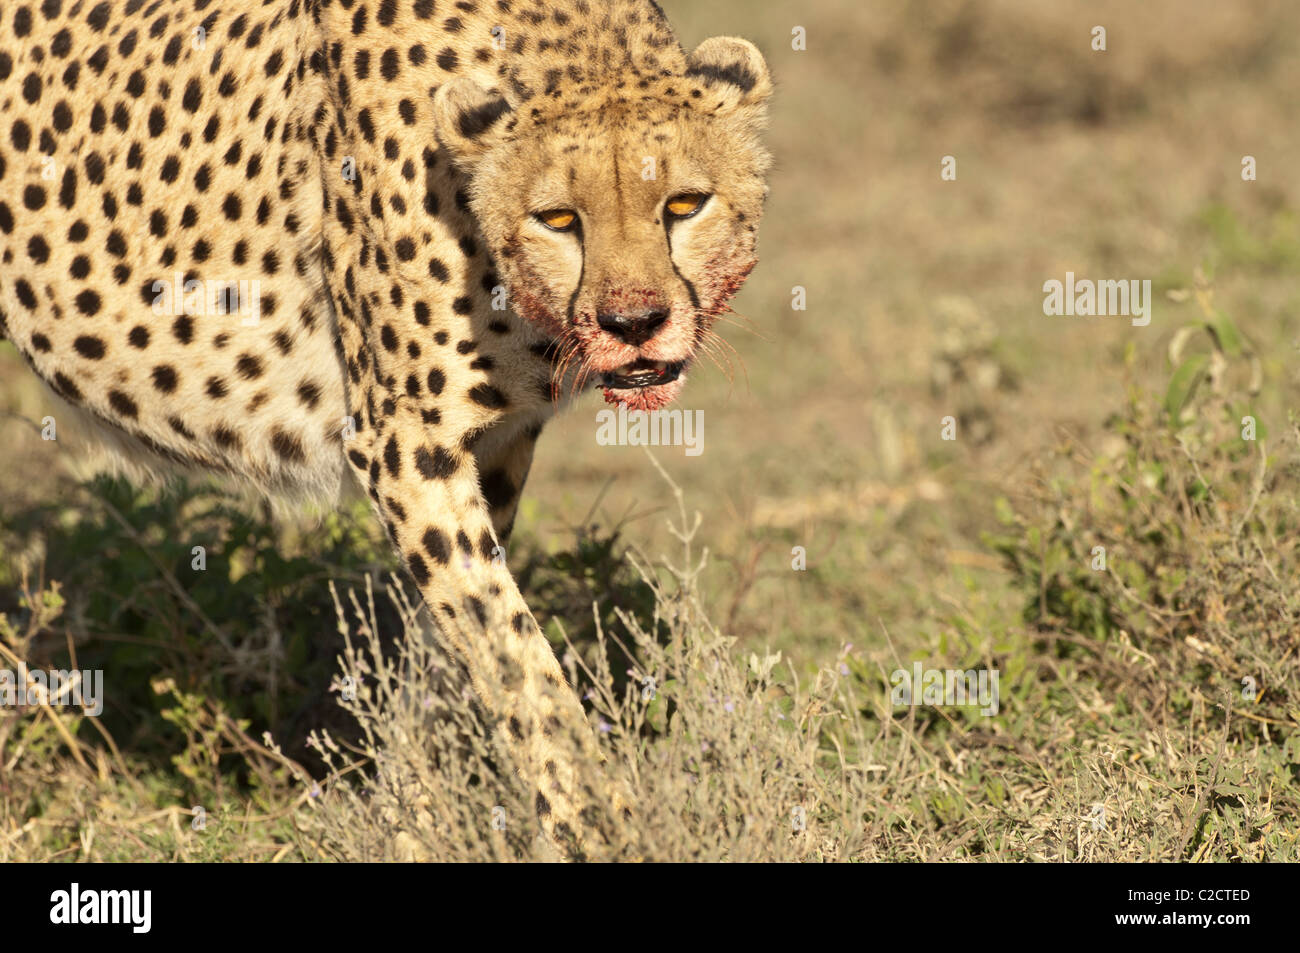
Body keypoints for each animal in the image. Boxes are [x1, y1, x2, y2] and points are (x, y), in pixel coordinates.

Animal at [0, 0, 772, 855]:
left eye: (684, 204)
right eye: (558, 218)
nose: (633, 323)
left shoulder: (496, 447)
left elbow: (444, 656)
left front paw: (413, 818)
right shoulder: (406, 444)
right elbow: (520, 664)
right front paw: (603, 827)